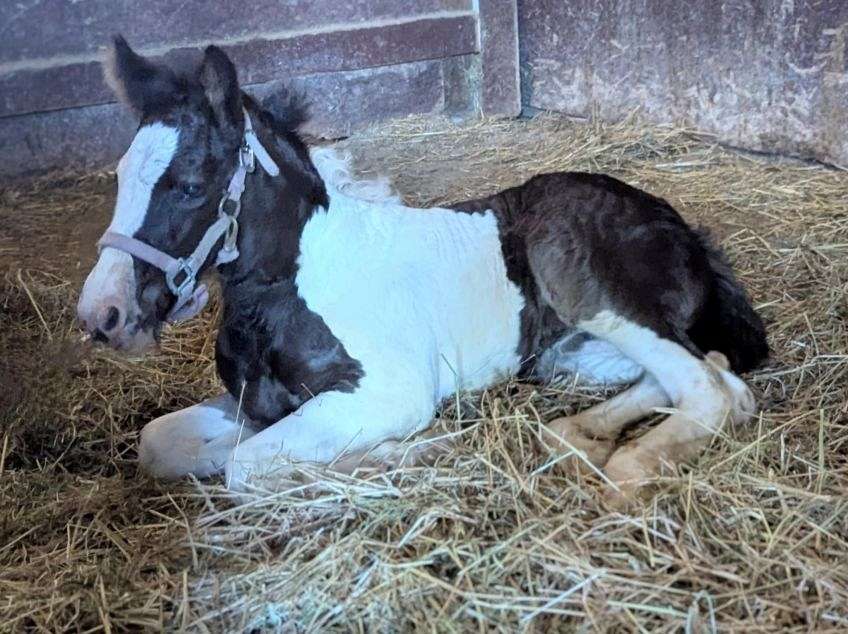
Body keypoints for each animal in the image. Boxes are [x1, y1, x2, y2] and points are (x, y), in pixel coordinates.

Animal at [76, 37, 768, 506]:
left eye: (191, 186)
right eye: (119, 176)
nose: (103, 314)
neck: (296, 285)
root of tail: (683, 227)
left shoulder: (390, 392)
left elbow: (243, 468)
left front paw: (401, 457)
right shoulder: (257, 404)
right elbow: (159, 443)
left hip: (593, 297)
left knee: (710, 388)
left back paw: (623, 472)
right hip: (567, 355)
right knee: (712, 370)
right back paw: (573, 437)